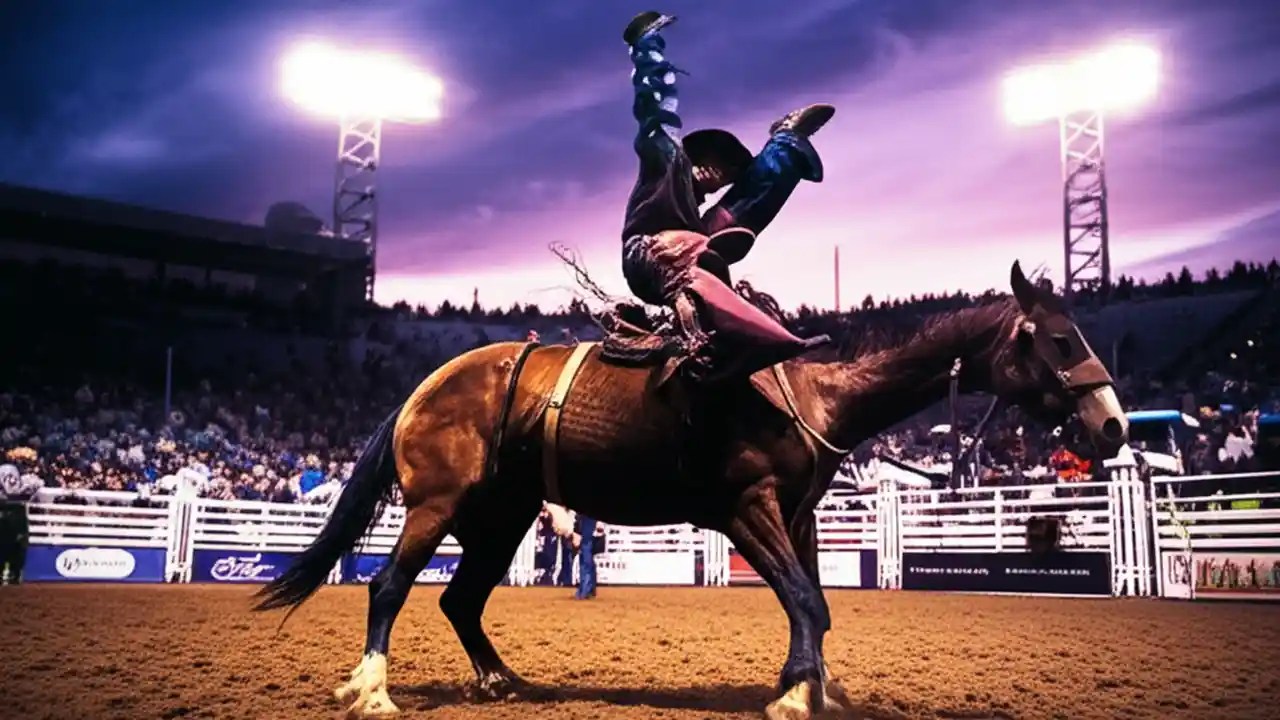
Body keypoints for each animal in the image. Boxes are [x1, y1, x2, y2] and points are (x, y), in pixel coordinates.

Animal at [254, 261, 1128, 720]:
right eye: (1059, 339)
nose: (1115, 426)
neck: (808, 397)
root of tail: (421, 388)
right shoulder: (746, 511)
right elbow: (807, 602)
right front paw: (792, 697)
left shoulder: (798, 517)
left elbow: (814, 600)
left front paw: (813, 686)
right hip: (435, 508)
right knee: (391, 586)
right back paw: (372, 690)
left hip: (499, 519)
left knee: (459, 599)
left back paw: (502, 681)